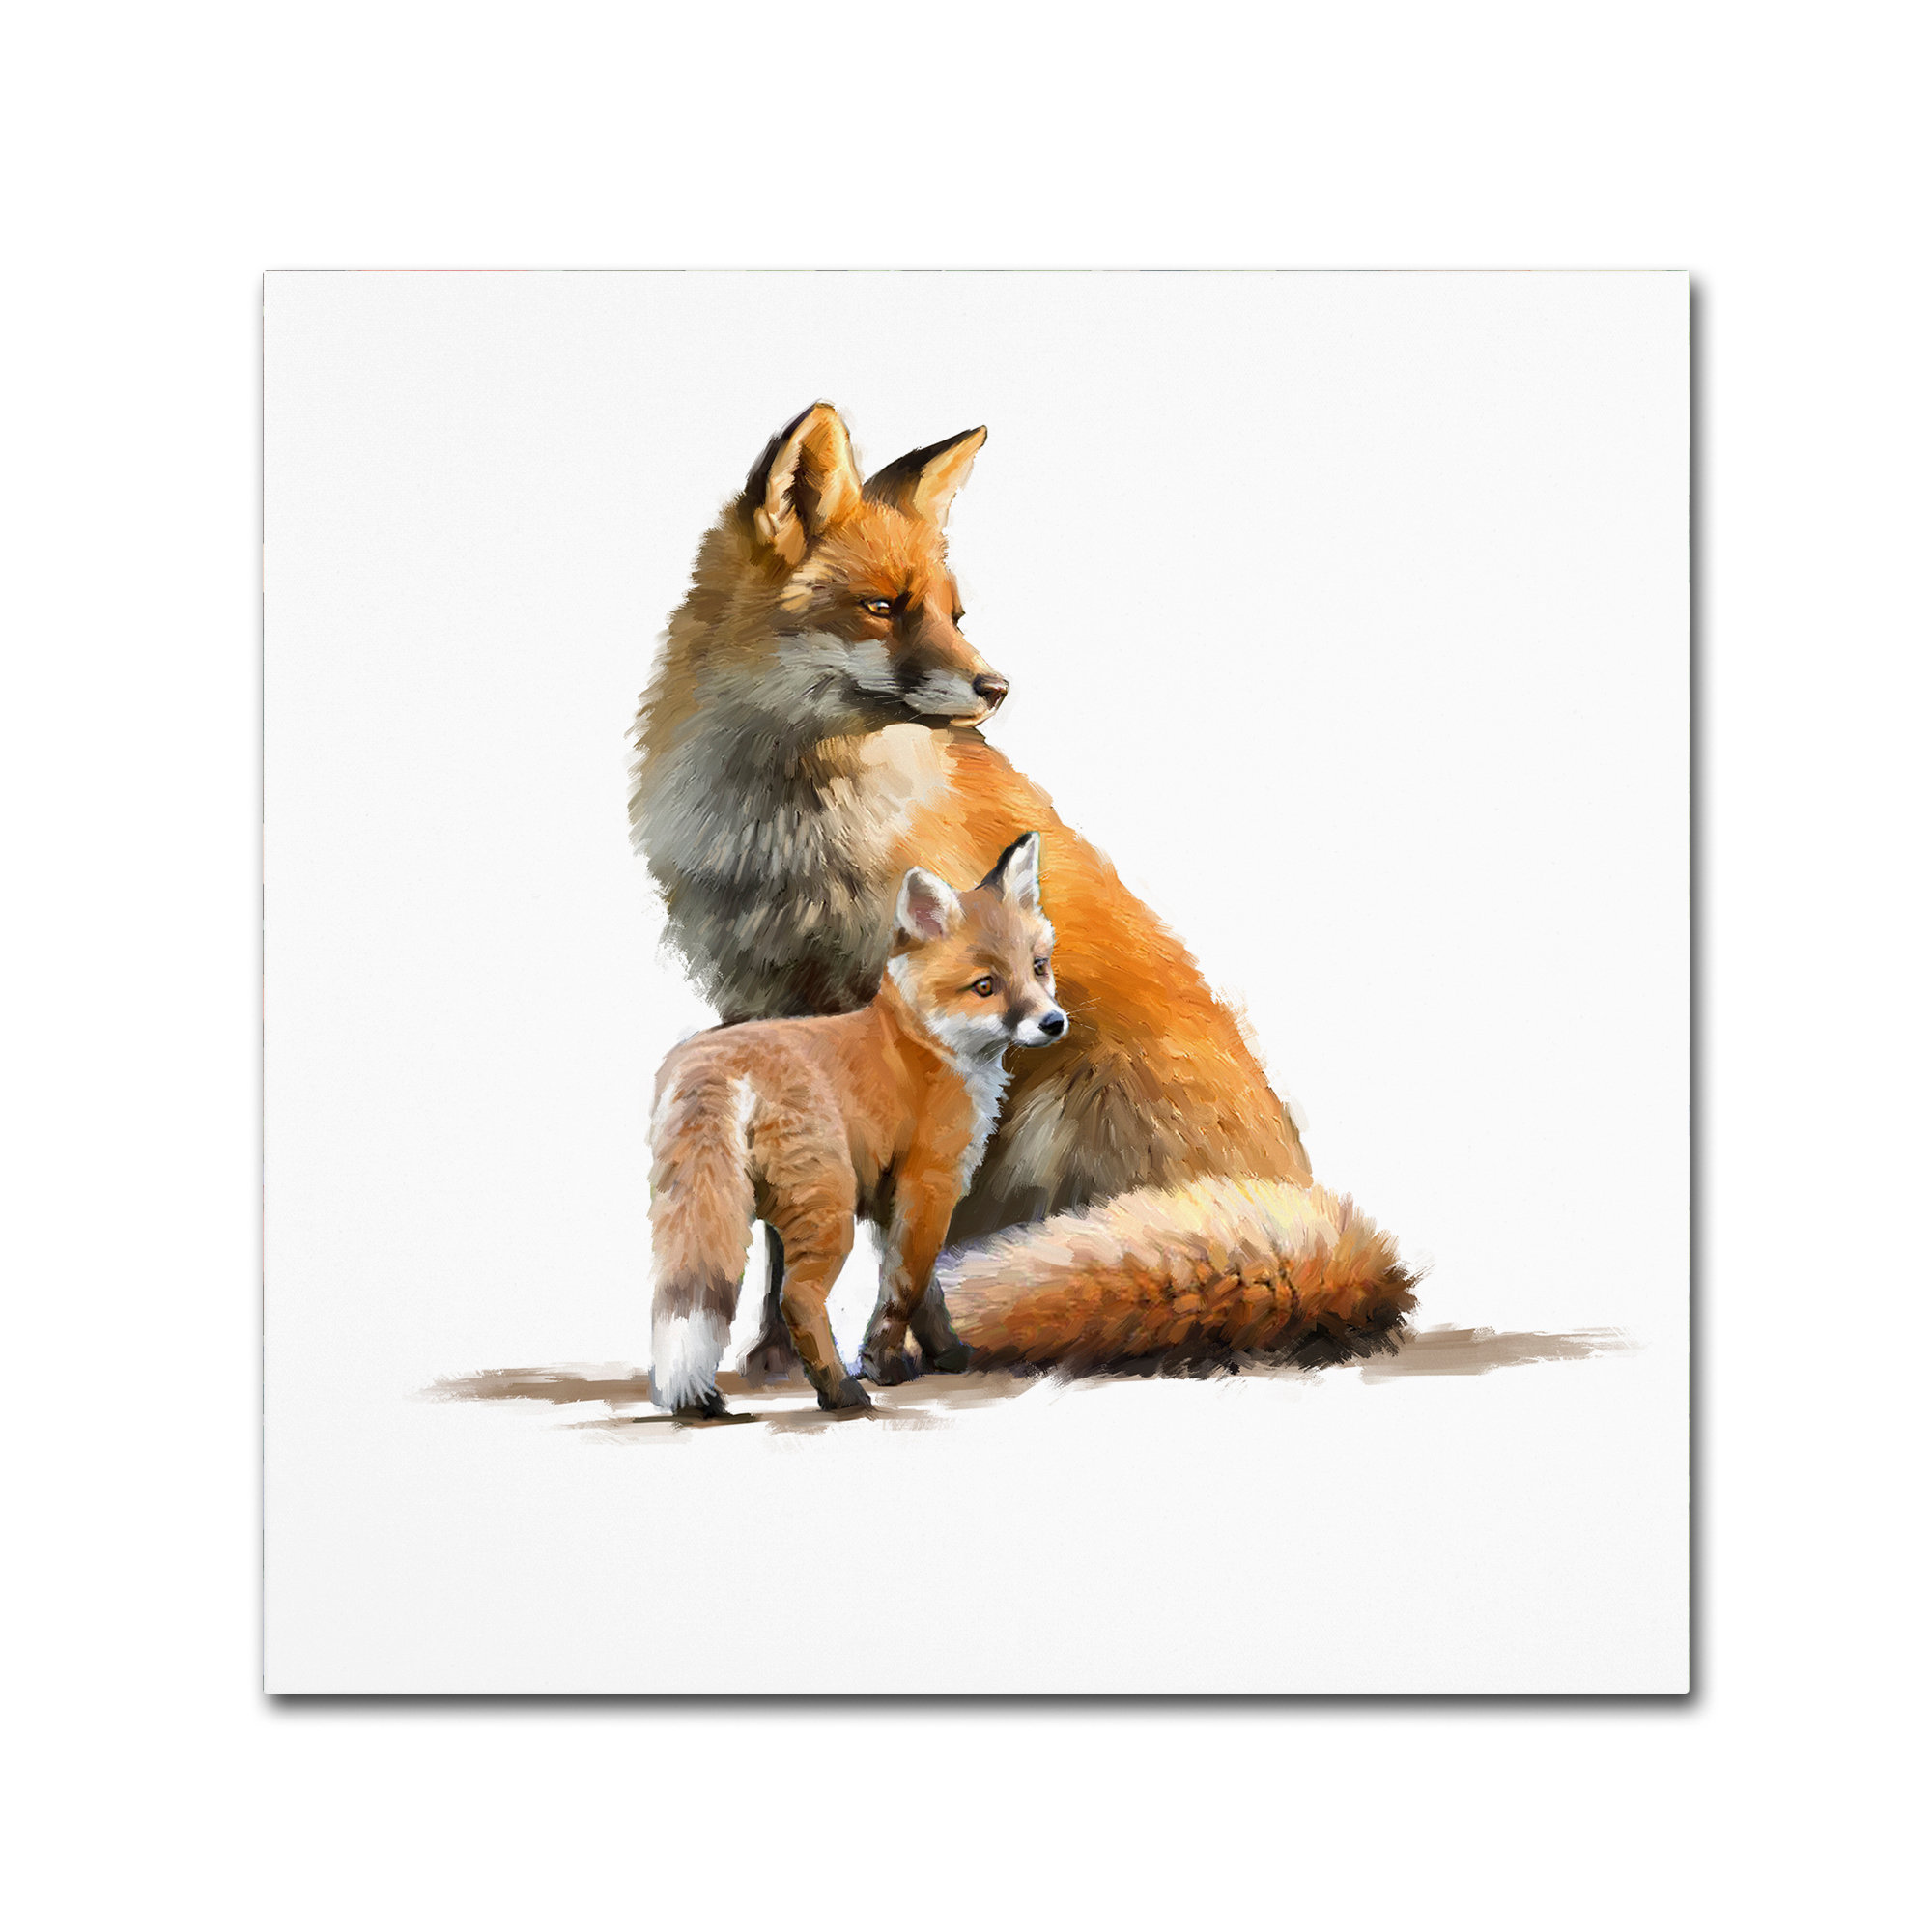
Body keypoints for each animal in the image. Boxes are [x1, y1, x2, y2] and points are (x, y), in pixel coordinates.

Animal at [649, 834, 1066, 1418]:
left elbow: (924, 1289)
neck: (924, 1042)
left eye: (1038, 967)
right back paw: (840, 1392)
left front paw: (946, 1353)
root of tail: (716, 1061)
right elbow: (905, 1287)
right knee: (798, 1299)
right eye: (985, 986)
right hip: (829, 1209)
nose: (1054, 1023)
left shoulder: (894, 1197)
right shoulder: (931, 1181)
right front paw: (883, 1364)